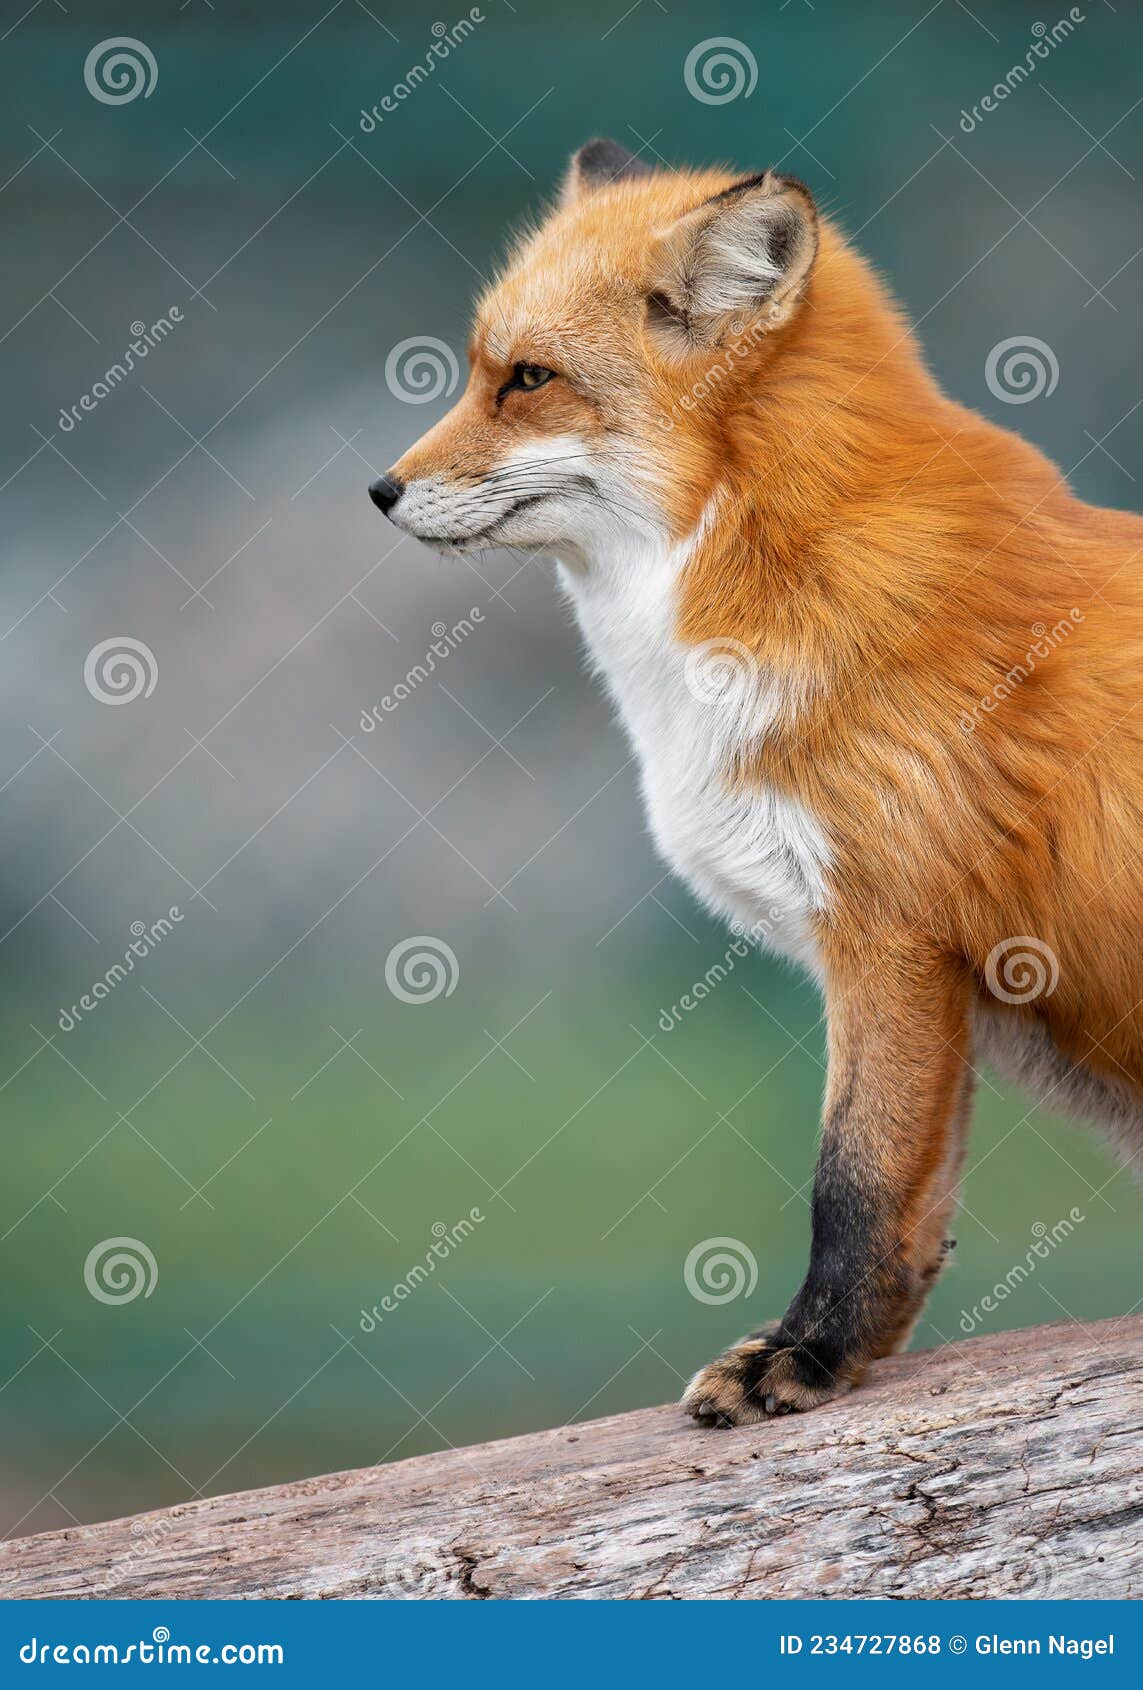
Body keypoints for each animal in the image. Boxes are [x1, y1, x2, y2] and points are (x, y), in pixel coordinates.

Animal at [369, 138, 1143, 1425]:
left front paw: (807, 1357)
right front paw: (842, 1352)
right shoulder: (938, 979)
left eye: (526, 379)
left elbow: (855, 1183)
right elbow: (912, 1220)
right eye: (484, 374)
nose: (378, 491)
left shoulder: (889, 936)